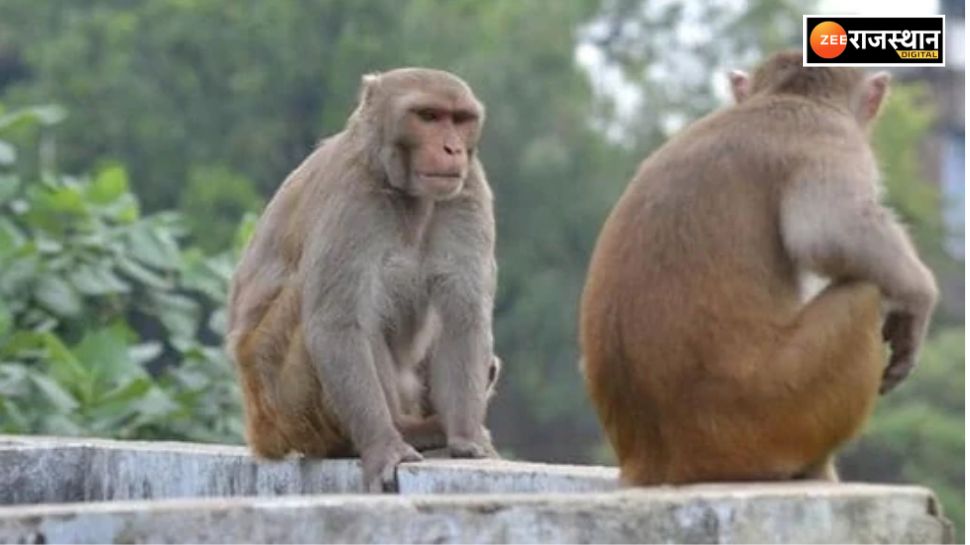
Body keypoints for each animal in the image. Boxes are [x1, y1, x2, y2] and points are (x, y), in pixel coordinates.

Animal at [226, 68, 499, 493]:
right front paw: (384, 446)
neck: (403, 189)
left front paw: (467, 438)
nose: (453, 149)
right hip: (280, 395)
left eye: (460, 120)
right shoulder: (351, 196)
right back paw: (404, 430)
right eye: (428, 116)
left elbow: (464, 319)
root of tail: (259, 432)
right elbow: (336, 325)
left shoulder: (469, 189)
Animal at [579, 51, 938, 486]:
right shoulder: (833, 140)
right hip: (772, 412)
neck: (783, 97)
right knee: (863, 293)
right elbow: (829, 231)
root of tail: (657, 461)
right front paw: (920, 297)